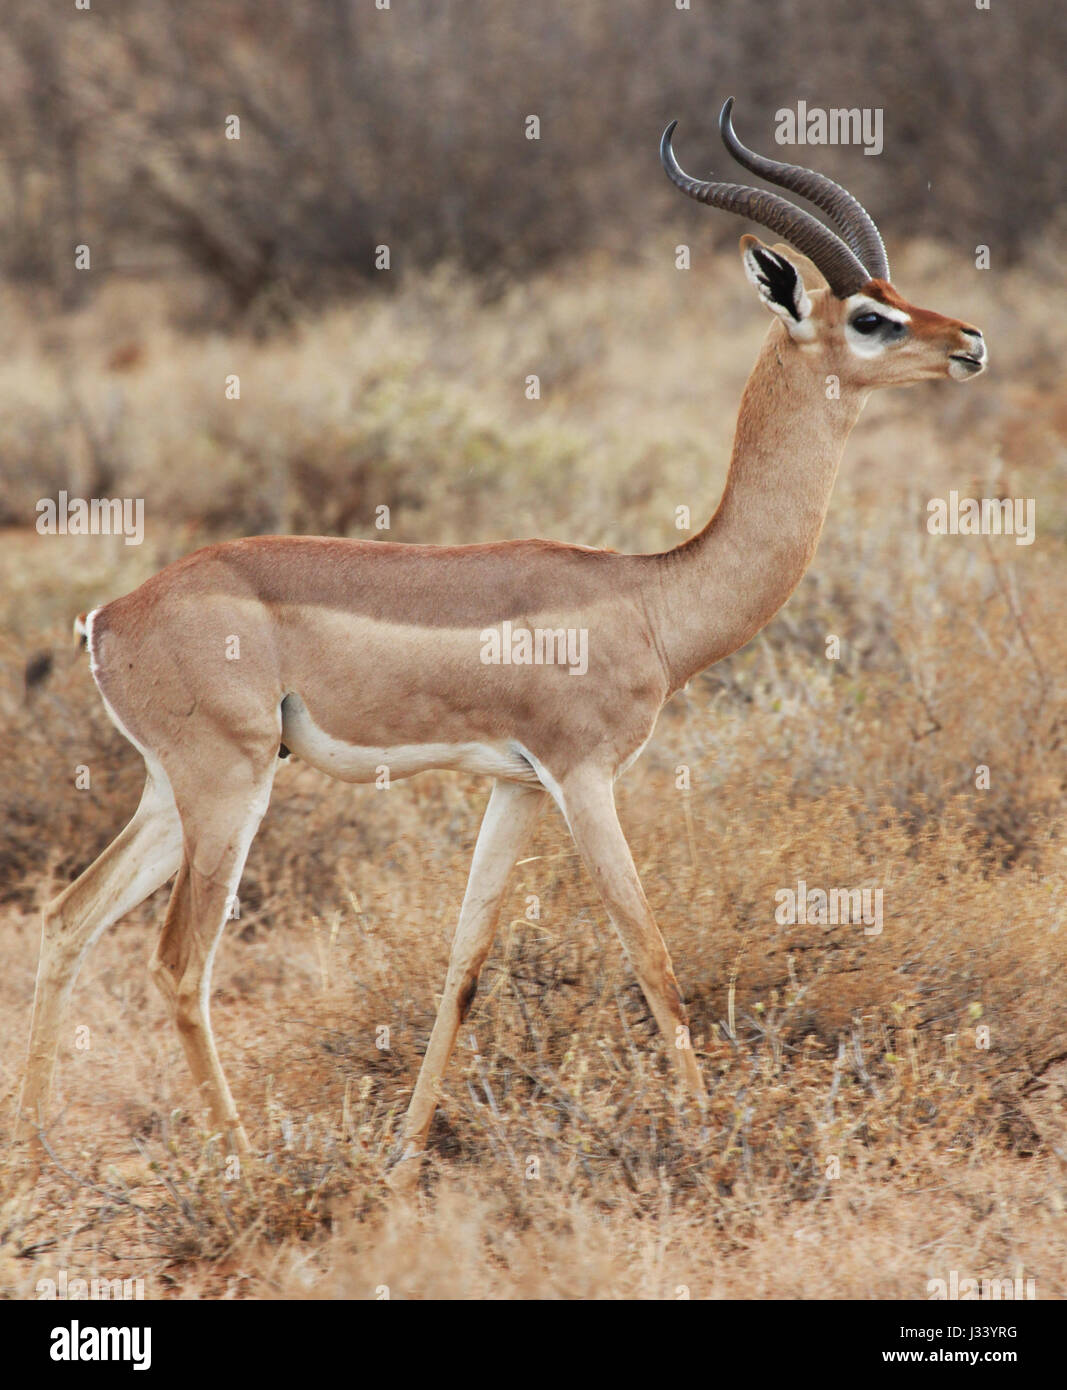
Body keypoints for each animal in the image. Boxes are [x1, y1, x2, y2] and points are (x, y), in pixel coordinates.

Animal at [16, 100, 987, 1184]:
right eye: (867, 316)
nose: (970, 341)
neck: (648, 597)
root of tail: (112, 615)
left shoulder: (513, 787)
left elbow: (465, 964)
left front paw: (403, 1158)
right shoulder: (584, 777)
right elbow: (650, 953)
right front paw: (708, 1141)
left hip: (170, 793)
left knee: (66, 920)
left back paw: (38, 1153)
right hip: (228, 788)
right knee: (179, 962)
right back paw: (249, 1164)